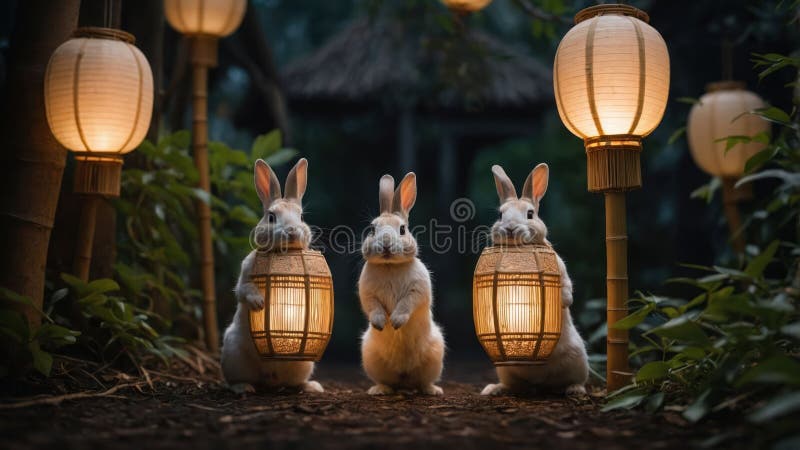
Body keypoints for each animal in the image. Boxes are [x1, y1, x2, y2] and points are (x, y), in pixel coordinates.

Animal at [220, 157, 324, 394]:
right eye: (271, 217)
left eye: (301, 216)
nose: (292, 231)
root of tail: (271, 379)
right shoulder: (245, 277)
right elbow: (244, 289)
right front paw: (259, 303)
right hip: (233, 355)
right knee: (237, 380)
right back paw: (244, 388)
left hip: (304, 363)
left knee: (294, 382)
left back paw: (312, 387)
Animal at [359, 173, 446, 396]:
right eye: (372, 229)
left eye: (403, 229)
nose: (386, 244)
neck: (390, 265)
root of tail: (404, 378)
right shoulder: (368, 295)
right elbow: (374, 308)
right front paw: (381, 324)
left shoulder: (417, 290)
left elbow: (406, 304)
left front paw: (396, 322)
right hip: (371, 359)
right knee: (387, 382)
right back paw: (379, 390)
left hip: (434, 357)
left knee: (423, 382)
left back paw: (433, 391)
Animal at [480, 164, 589, 397]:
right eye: (501, 215)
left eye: (530, 214)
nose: (510, 228)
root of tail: (540, 382)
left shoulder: (559, 265)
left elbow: (566, 280)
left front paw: (565, 301)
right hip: (504, 368)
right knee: (514, 385)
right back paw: (493, 389)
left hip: (578, 360)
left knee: (576, 380)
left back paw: (574, 390)